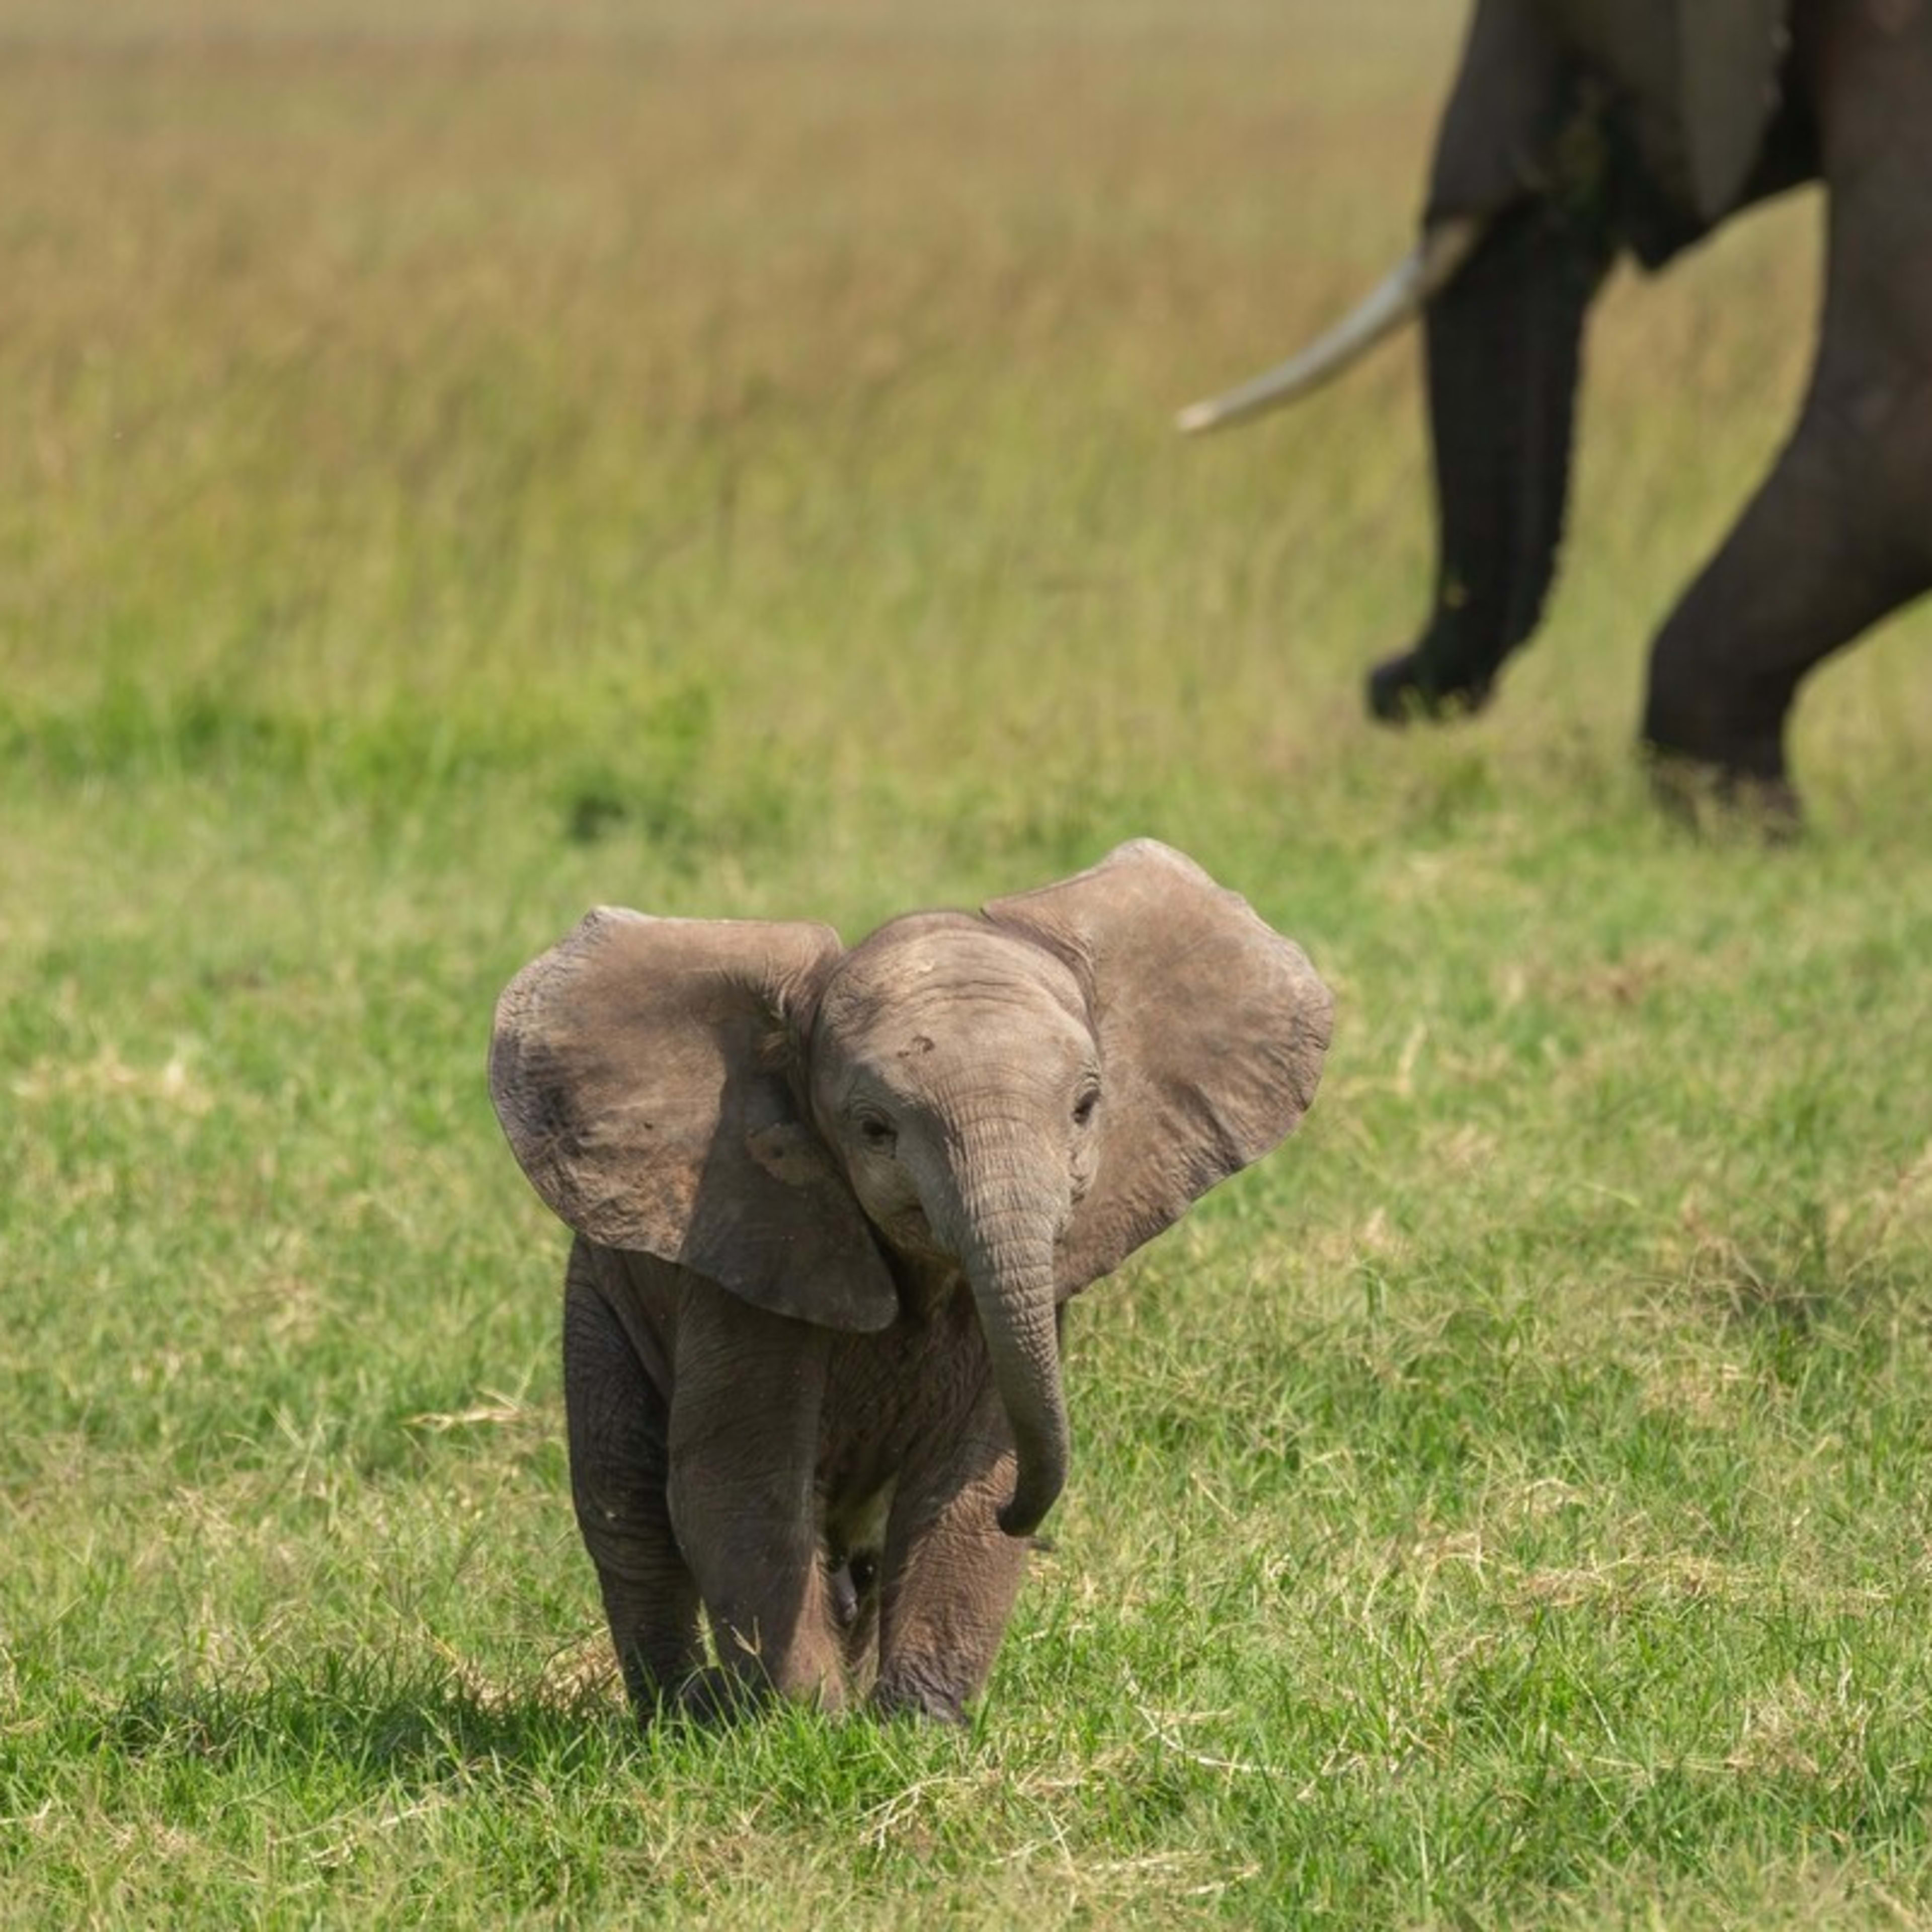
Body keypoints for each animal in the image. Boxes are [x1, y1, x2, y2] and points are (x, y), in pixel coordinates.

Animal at [489, 840, 1333, 1723]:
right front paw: (808, 1730)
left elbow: (970, 1469)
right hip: (599, 1295)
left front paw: (914, 1729)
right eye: (874, 1131)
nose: (1029, 1518)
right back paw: (678, 1715)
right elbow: (740, 1481)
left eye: (1086, 1108)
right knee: (629, 1509)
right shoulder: (752, 1245)